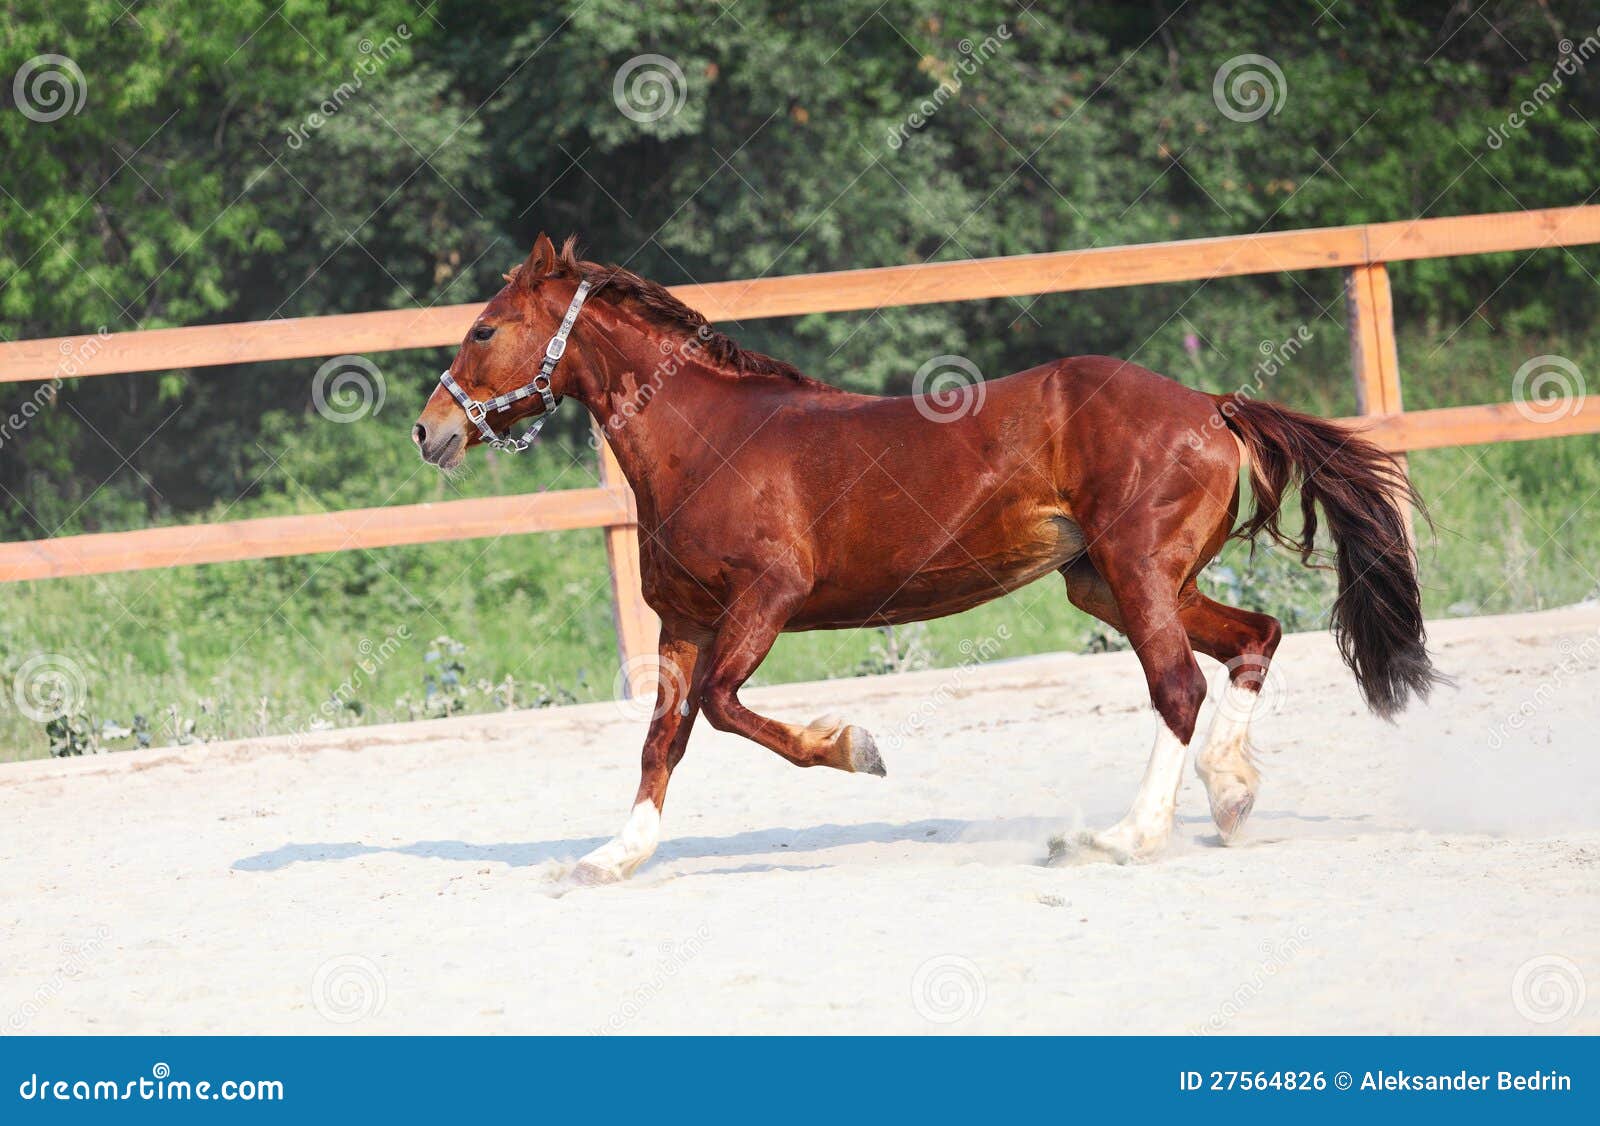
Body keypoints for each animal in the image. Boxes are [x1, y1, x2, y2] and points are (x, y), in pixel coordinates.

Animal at [413, 234, 1439, 884]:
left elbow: (723, 707)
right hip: (1110, 583)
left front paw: (855, 748)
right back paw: (1230, 796)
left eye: (483, 329)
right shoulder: (686, 619)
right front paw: (609, 859)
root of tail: (1211, 406)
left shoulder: (767, 597)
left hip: (1139, 572)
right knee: (1254, 638)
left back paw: (1123, 838)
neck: (703, 441)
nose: (429, 431)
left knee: (1179, 685)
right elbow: (662, 737)